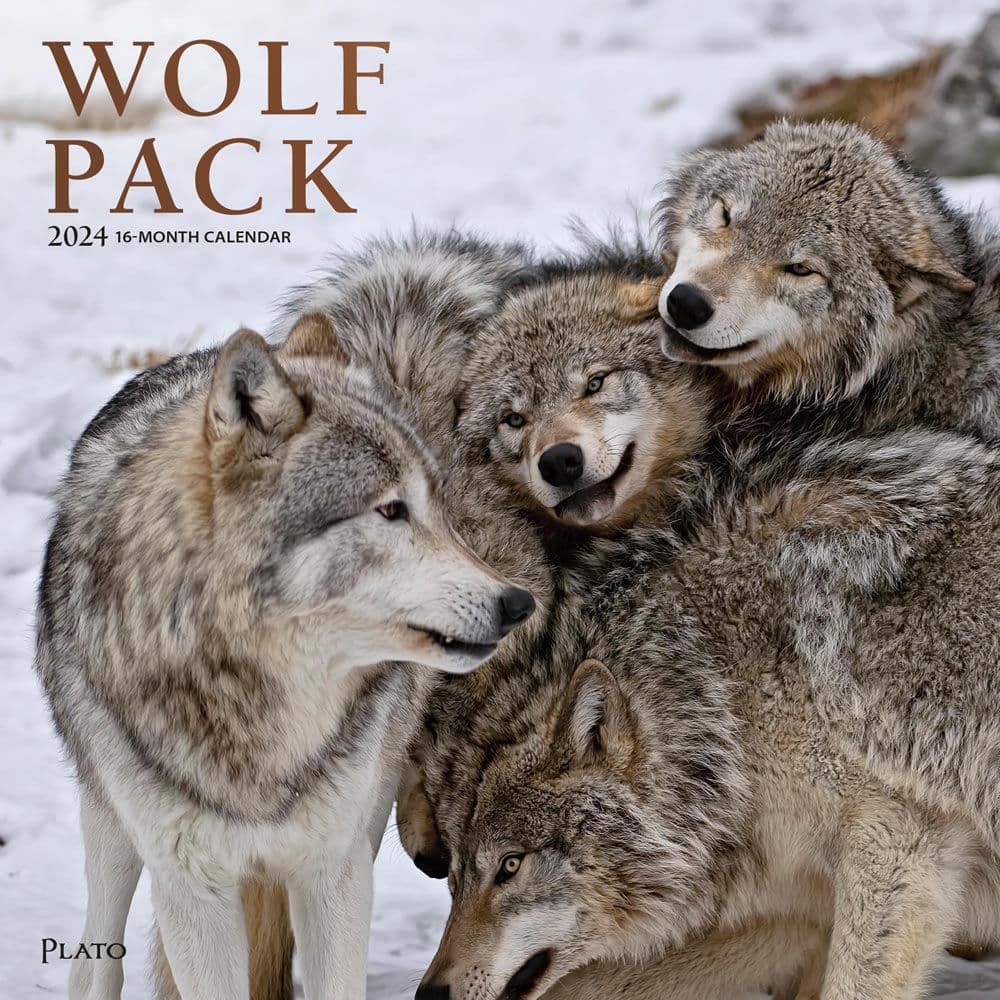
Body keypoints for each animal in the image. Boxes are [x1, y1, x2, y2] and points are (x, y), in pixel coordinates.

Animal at [35, 236, 541, 999]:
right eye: (390, 510)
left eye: (437, 507)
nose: (518, 603)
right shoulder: (192, 888)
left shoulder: (333, 871)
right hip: (112, 828)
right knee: (99, 951)